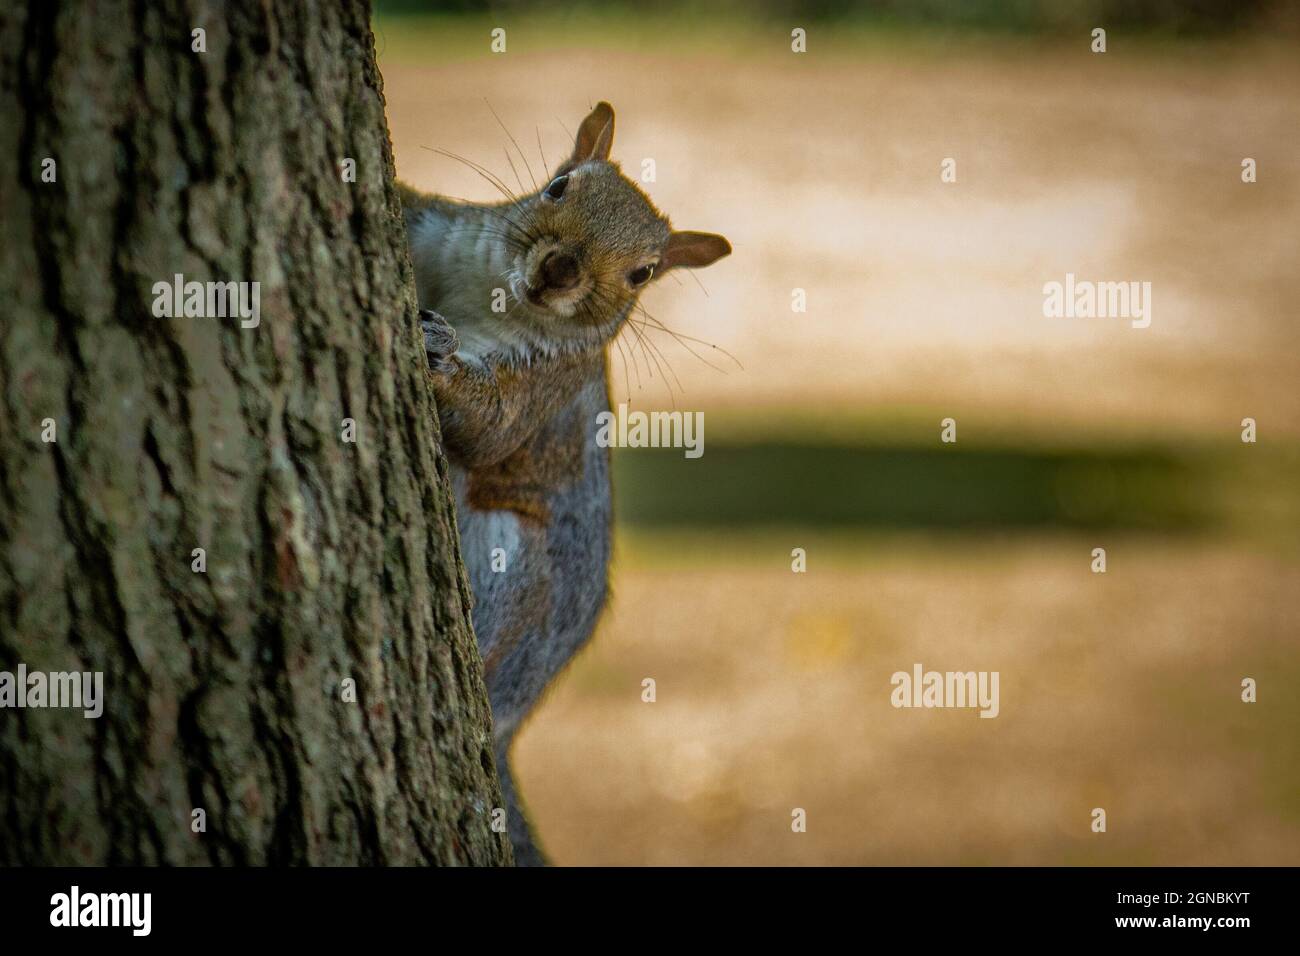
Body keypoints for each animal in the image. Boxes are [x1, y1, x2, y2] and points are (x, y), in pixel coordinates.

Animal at [397, 102, 731, 865]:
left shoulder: (546, 381)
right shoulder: (440, 229)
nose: (559, 270)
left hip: (517, 579)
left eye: (642, 274)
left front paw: (441, 358)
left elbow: (493, 427)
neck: (490, 297)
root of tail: (507, 722)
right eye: (557, 186)